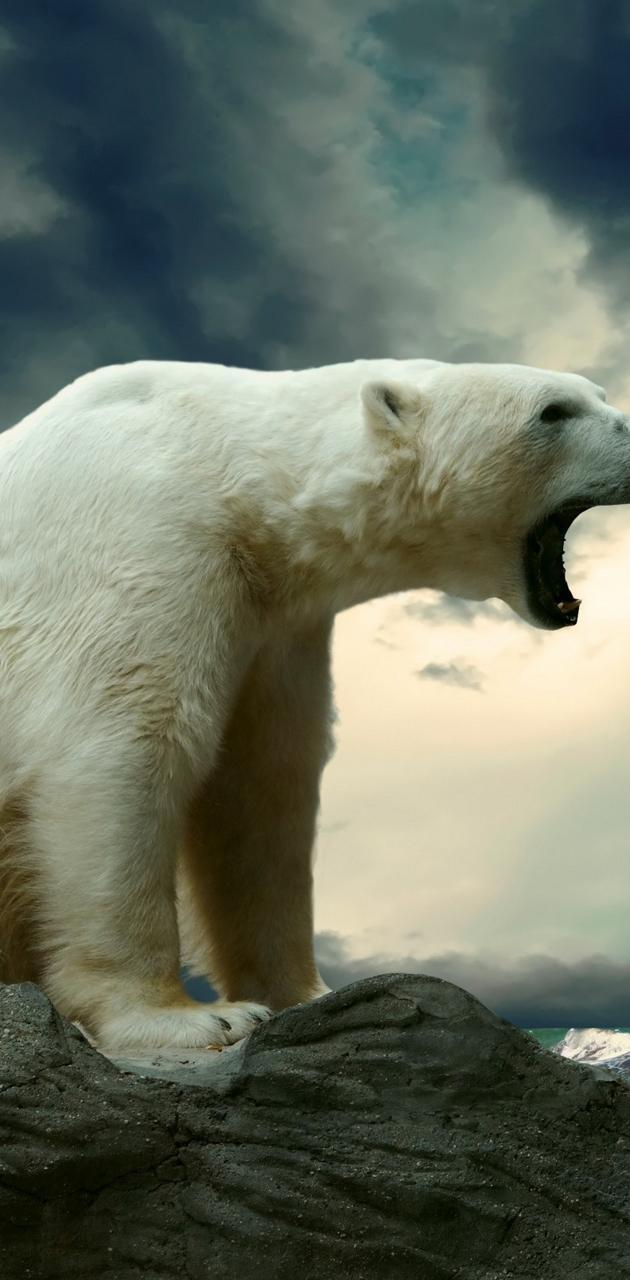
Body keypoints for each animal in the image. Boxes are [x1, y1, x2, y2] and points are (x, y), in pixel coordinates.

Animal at [1, 356, 629, 1051]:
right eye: (553, 411)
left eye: (597, 393)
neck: (233, 481)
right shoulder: (139, 546)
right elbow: (122, 749)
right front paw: (185, 1017)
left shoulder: (272, 624)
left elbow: (262, 787)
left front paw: (306, 995)